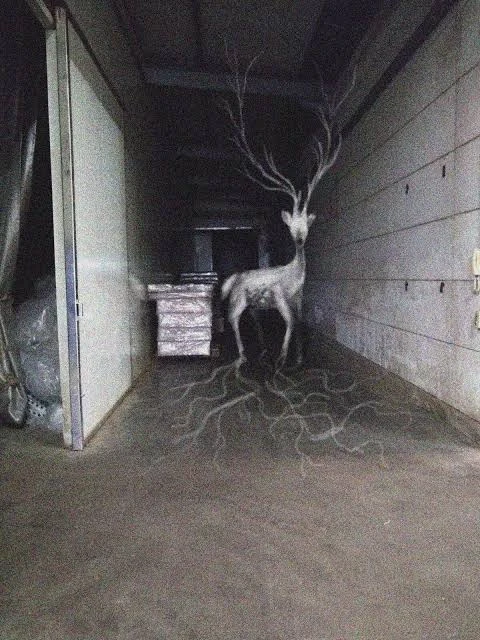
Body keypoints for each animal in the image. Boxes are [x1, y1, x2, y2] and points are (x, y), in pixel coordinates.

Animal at [221, 54, 354, 369]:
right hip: (238, 300)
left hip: (254, 304)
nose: (300, 239)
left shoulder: (299, 299)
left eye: (306, 224)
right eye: (289, 225)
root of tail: (232, 279)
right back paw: (243, 356)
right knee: (233, 321)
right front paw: (284, 358)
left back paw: (260, 351)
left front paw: (299, 357)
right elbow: (290, 324)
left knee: (252, 320)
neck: (295, 278)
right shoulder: (281, 297)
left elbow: (300, 323)